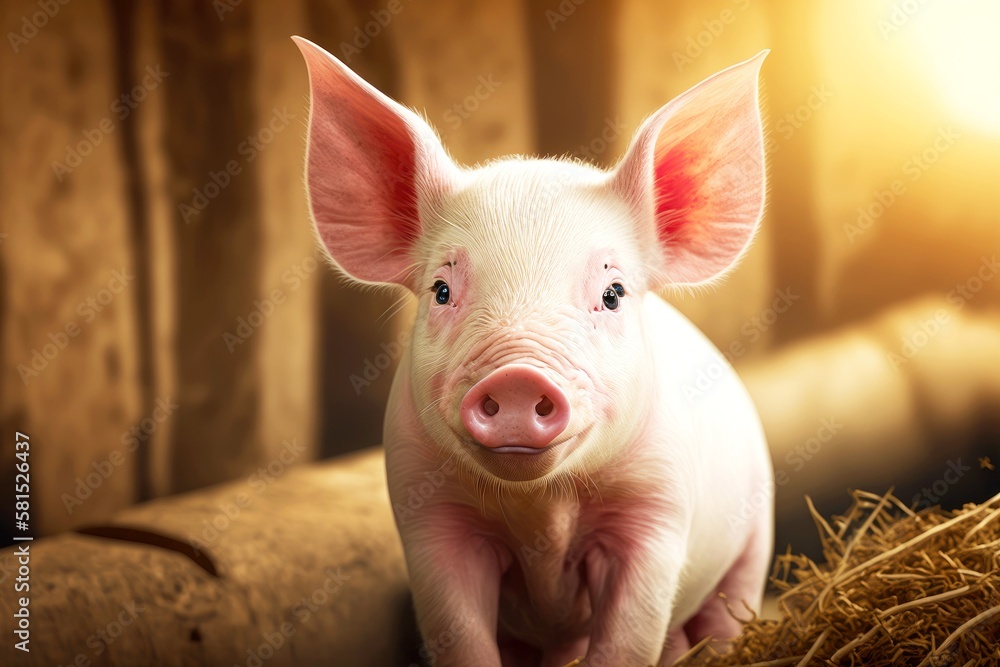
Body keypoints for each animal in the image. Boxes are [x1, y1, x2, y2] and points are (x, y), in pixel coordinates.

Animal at [293, 36, 773, 667]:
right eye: (441, 290)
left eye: (612, 294)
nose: (518, 377)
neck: (541, 510)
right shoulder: (429, 516)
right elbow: (462, 637)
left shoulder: (655, 511)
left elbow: (626, 640)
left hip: (756, 529)